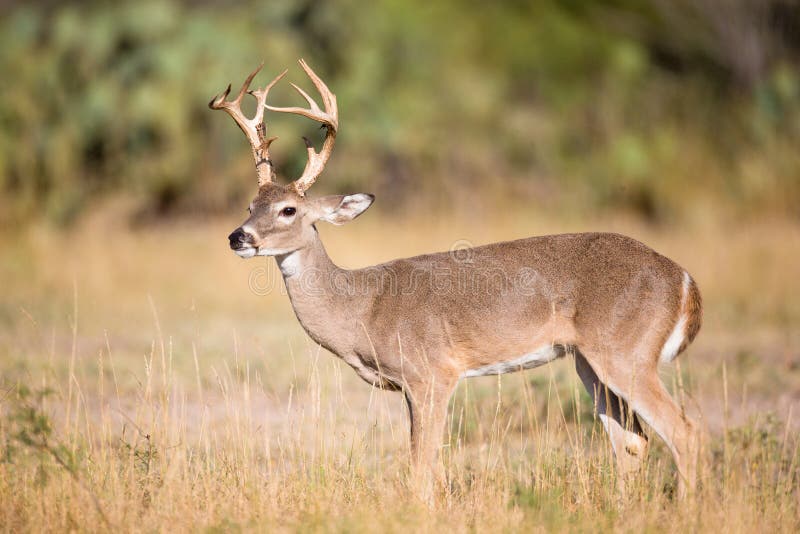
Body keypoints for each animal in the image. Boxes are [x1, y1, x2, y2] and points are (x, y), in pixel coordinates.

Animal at [209, 59, 703, 499]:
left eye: (288, 209)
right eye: (250, 205)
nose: (238, 236)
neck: (361, 309)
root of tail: (683, 279)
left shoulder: (433, 372)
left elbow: (421, 465)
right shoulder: (410, 386)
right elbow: (426, 463)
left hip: (626, 351)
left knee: (683, 431)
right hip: (588, 360)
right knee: (632, 441)